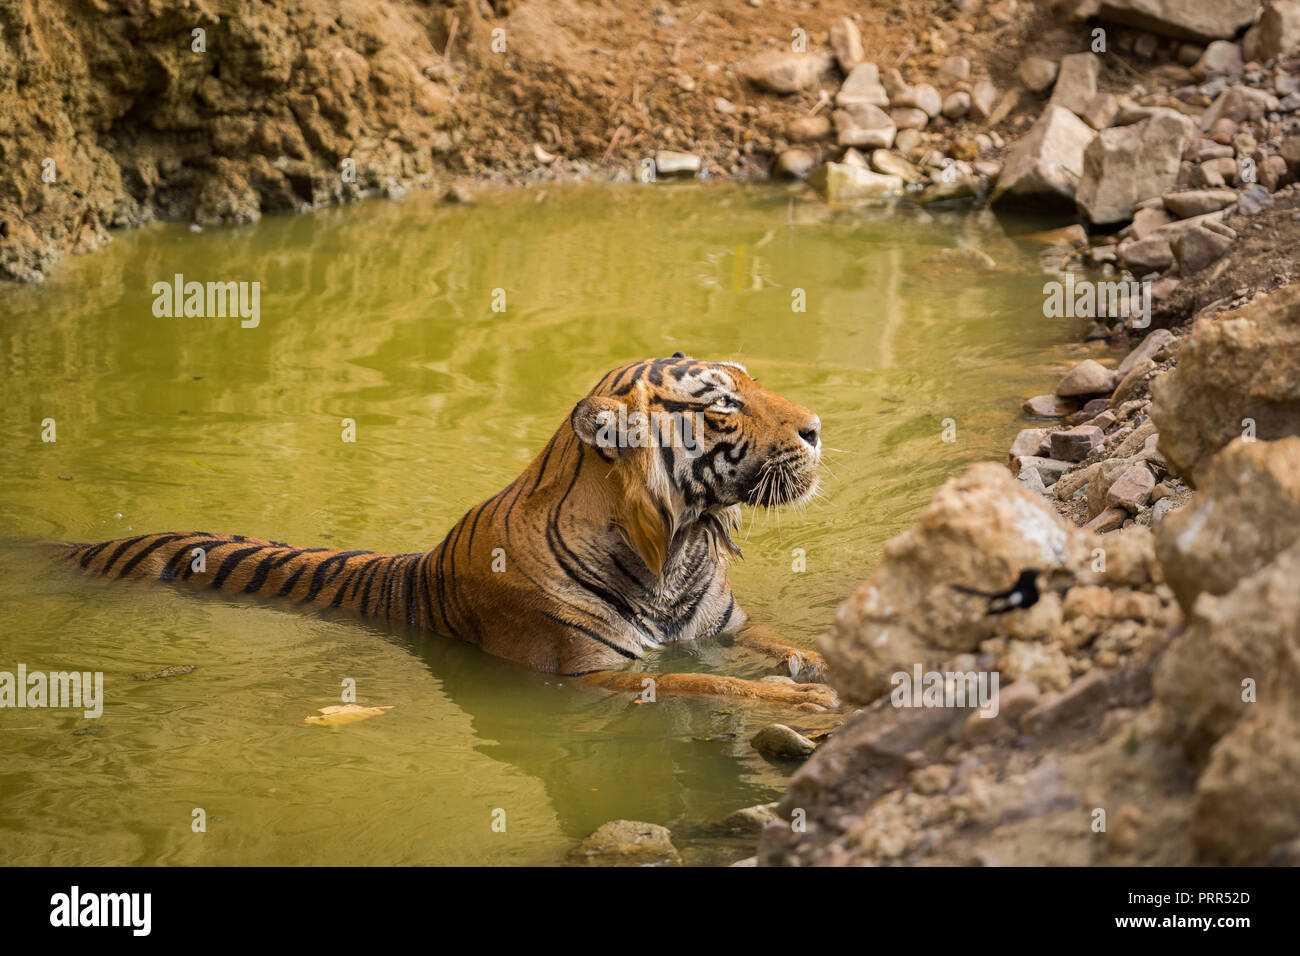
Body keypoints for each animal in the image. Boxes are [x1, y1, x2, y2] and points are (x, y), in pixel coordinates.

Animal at [56, 354, 837, 709]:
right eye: (723, 407)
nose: (816, 427)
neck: (674, 549)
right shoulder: (588, 677)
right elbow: (698, 682)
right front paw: (798, 699)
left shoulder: (728, 626)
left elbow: (782, 645)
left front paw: (826, 664)